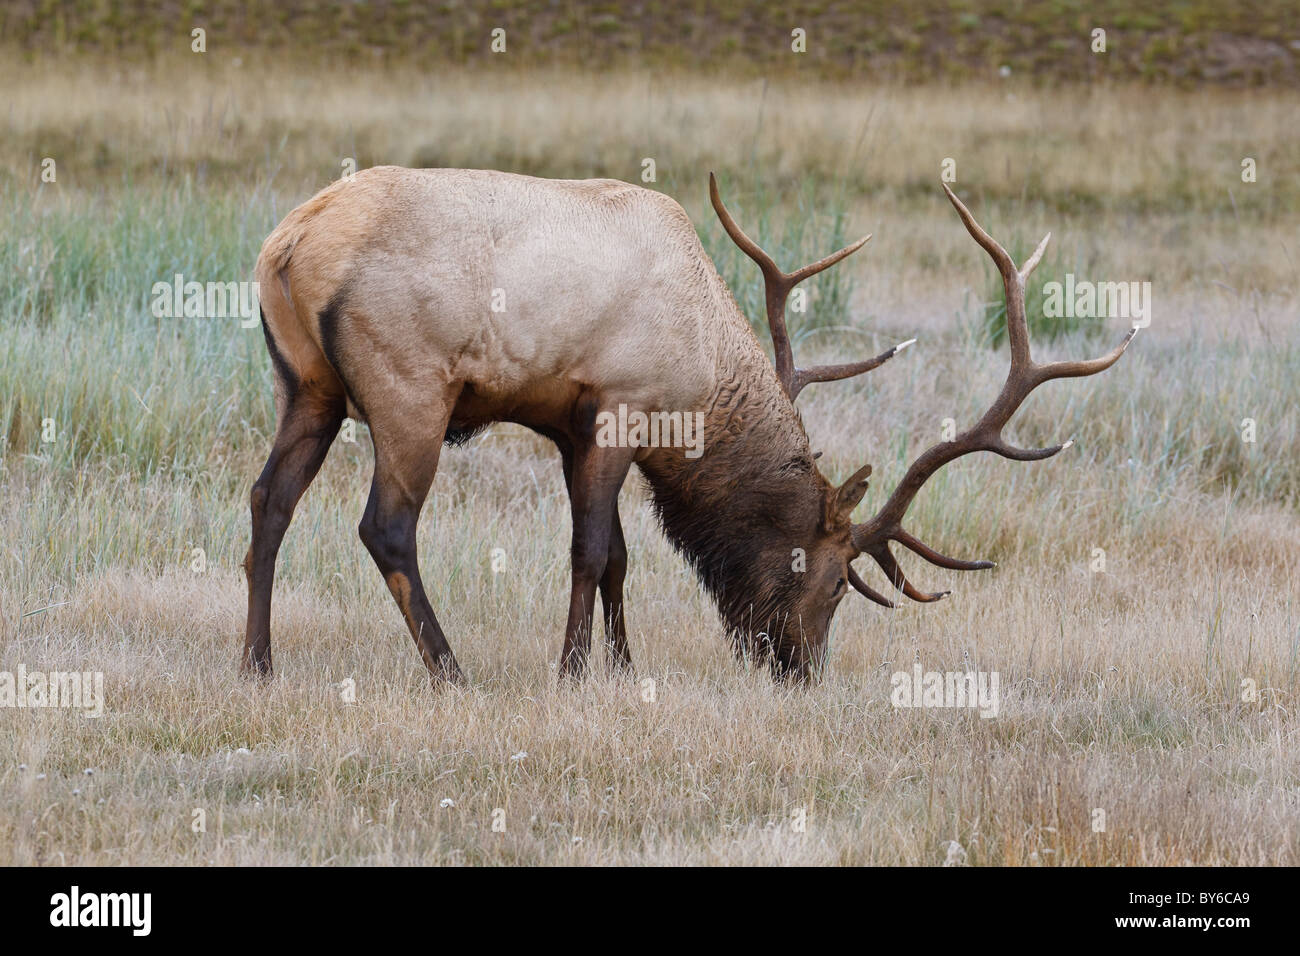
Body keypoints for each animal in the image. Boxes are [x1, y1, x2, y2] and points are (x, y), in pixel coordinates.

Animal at [242, 166, 1137, 685]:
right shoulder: (621, 404)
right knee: (386, 527)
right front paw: (572, 672)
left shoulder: (572, 425)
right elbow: (590, 550)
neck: (703, 374)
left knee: (267, 502)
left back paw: (258, 663)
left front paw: (623, 665)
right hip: (409, 388)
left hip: (307, 387)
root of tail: (287, 245)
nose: (803, 669)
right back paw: (451, 670)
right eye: (833, 581)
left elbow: (618, 558)